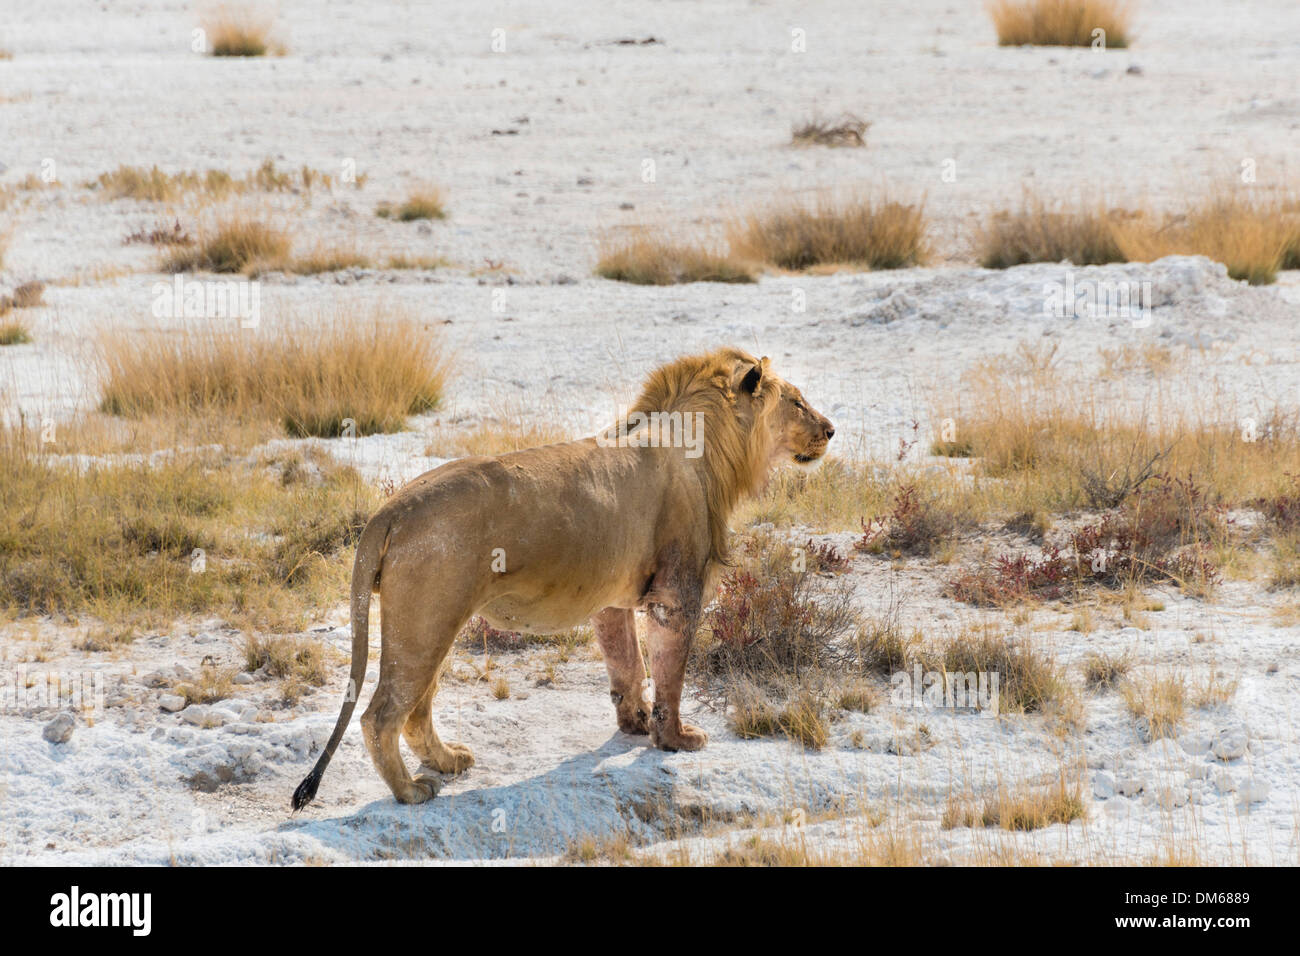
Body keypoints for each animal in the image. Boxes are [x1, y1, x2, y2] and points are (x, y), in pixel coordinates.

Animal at [292, 347, 834, 807]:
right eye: (798, 402)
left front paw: (633, 723)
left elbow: (627, 666)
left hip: (433, 626)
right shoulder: (676, 593)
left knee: (417, 710)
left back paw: (449, 762)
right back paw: (410, 791)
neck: (709, 446)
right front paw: (675, 739)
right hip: (425, 624)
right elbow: (670, 675)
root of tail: (391, 509)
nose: (831, 429)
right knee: (381, 714)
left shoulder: (613, 598)